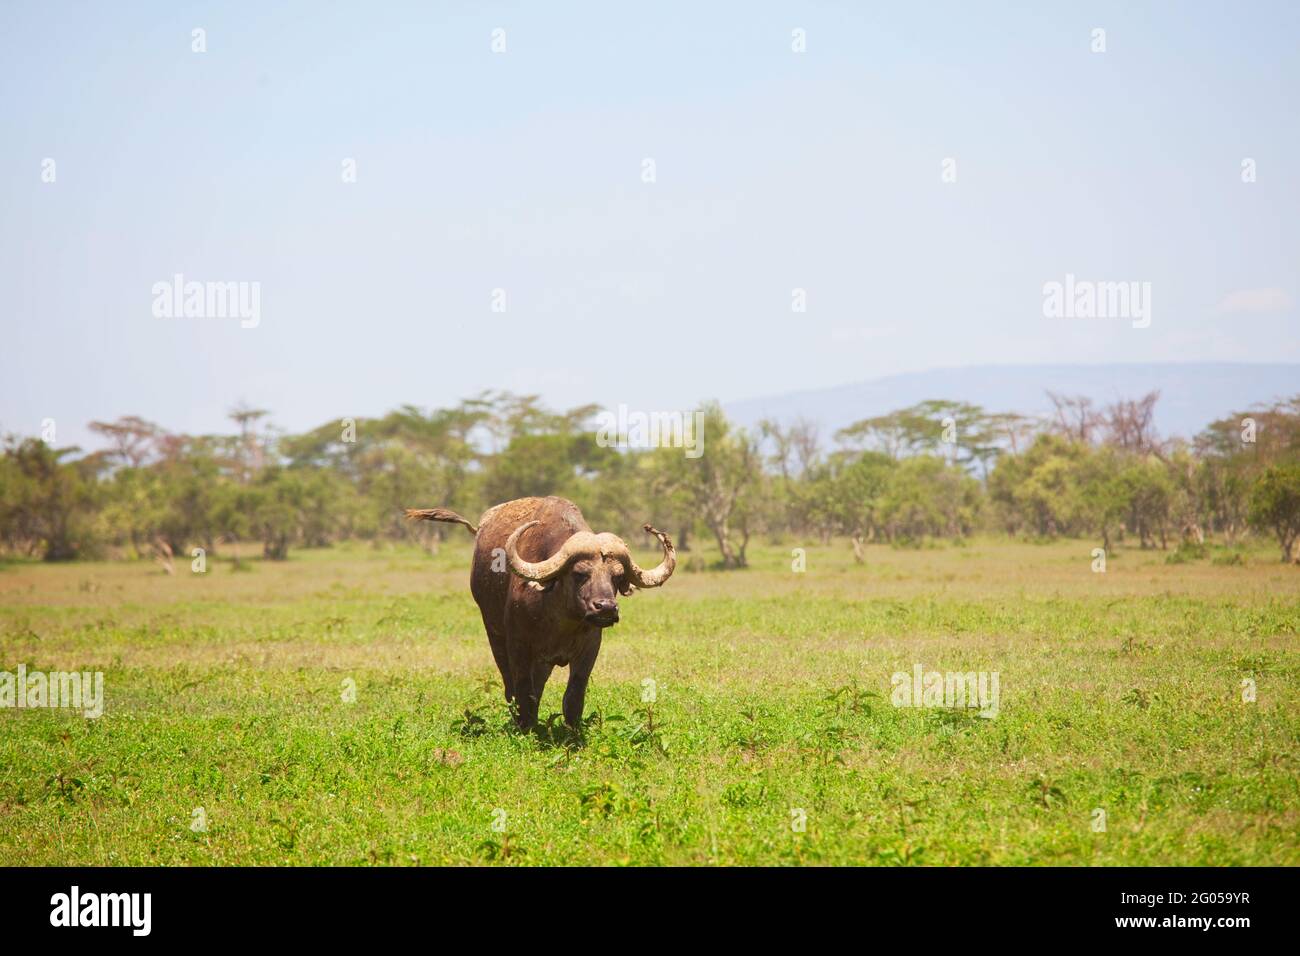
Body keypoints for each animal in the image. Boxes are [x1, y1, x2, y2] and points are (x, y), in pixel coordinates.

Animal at [405, 496, 675, 730]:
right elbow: (524, 691)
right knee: (510, 687)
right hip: (495, 636)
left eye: (617, 577)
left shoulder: (589, 648)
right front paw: (527, 728)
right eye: (579, 573)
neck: (561, 621)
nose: (606, 608)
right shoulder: (519, 647)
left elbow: (573, 696)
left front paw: (571, 731)